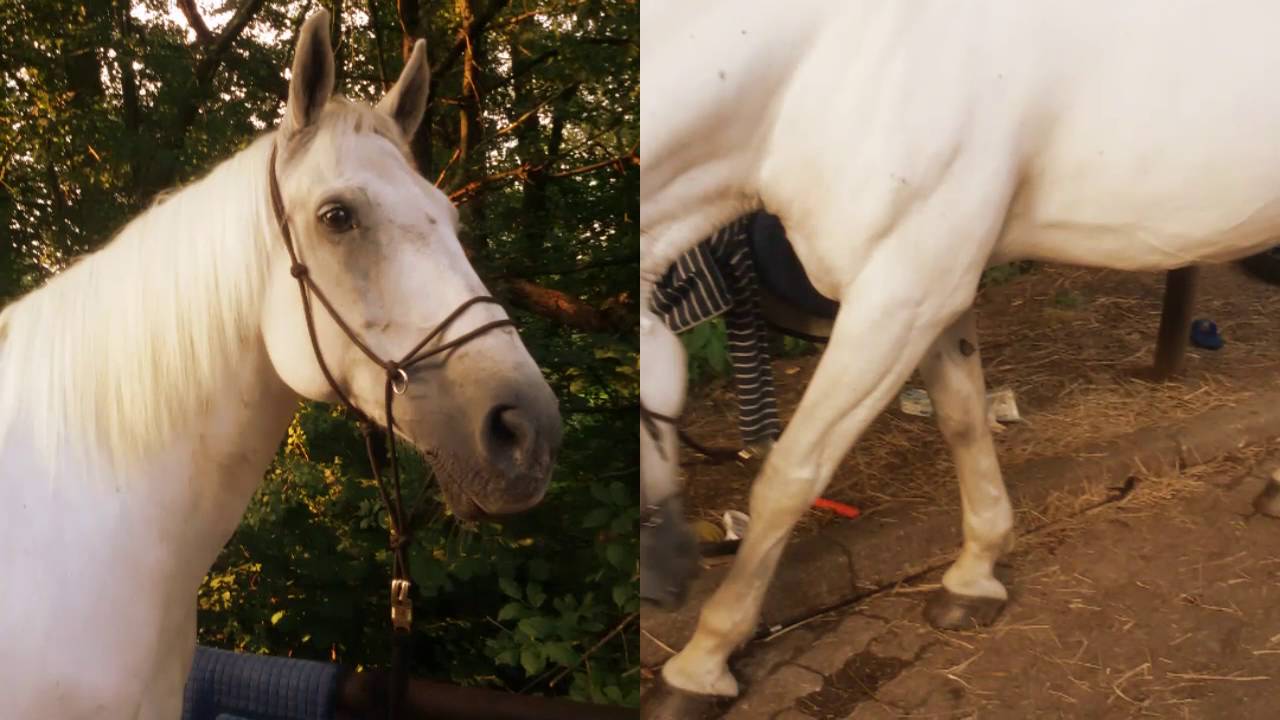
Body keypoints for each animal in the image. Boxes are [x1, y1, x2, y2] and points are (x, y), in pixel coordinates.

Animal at [640, 0, 1280, 698]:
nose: (662, 580)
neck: (821, 67)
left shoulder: (901, 297)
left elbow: (788, 476)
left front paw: (700, 664)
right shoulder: (931, 294)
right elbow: (964, 422)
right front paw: (974, 578)